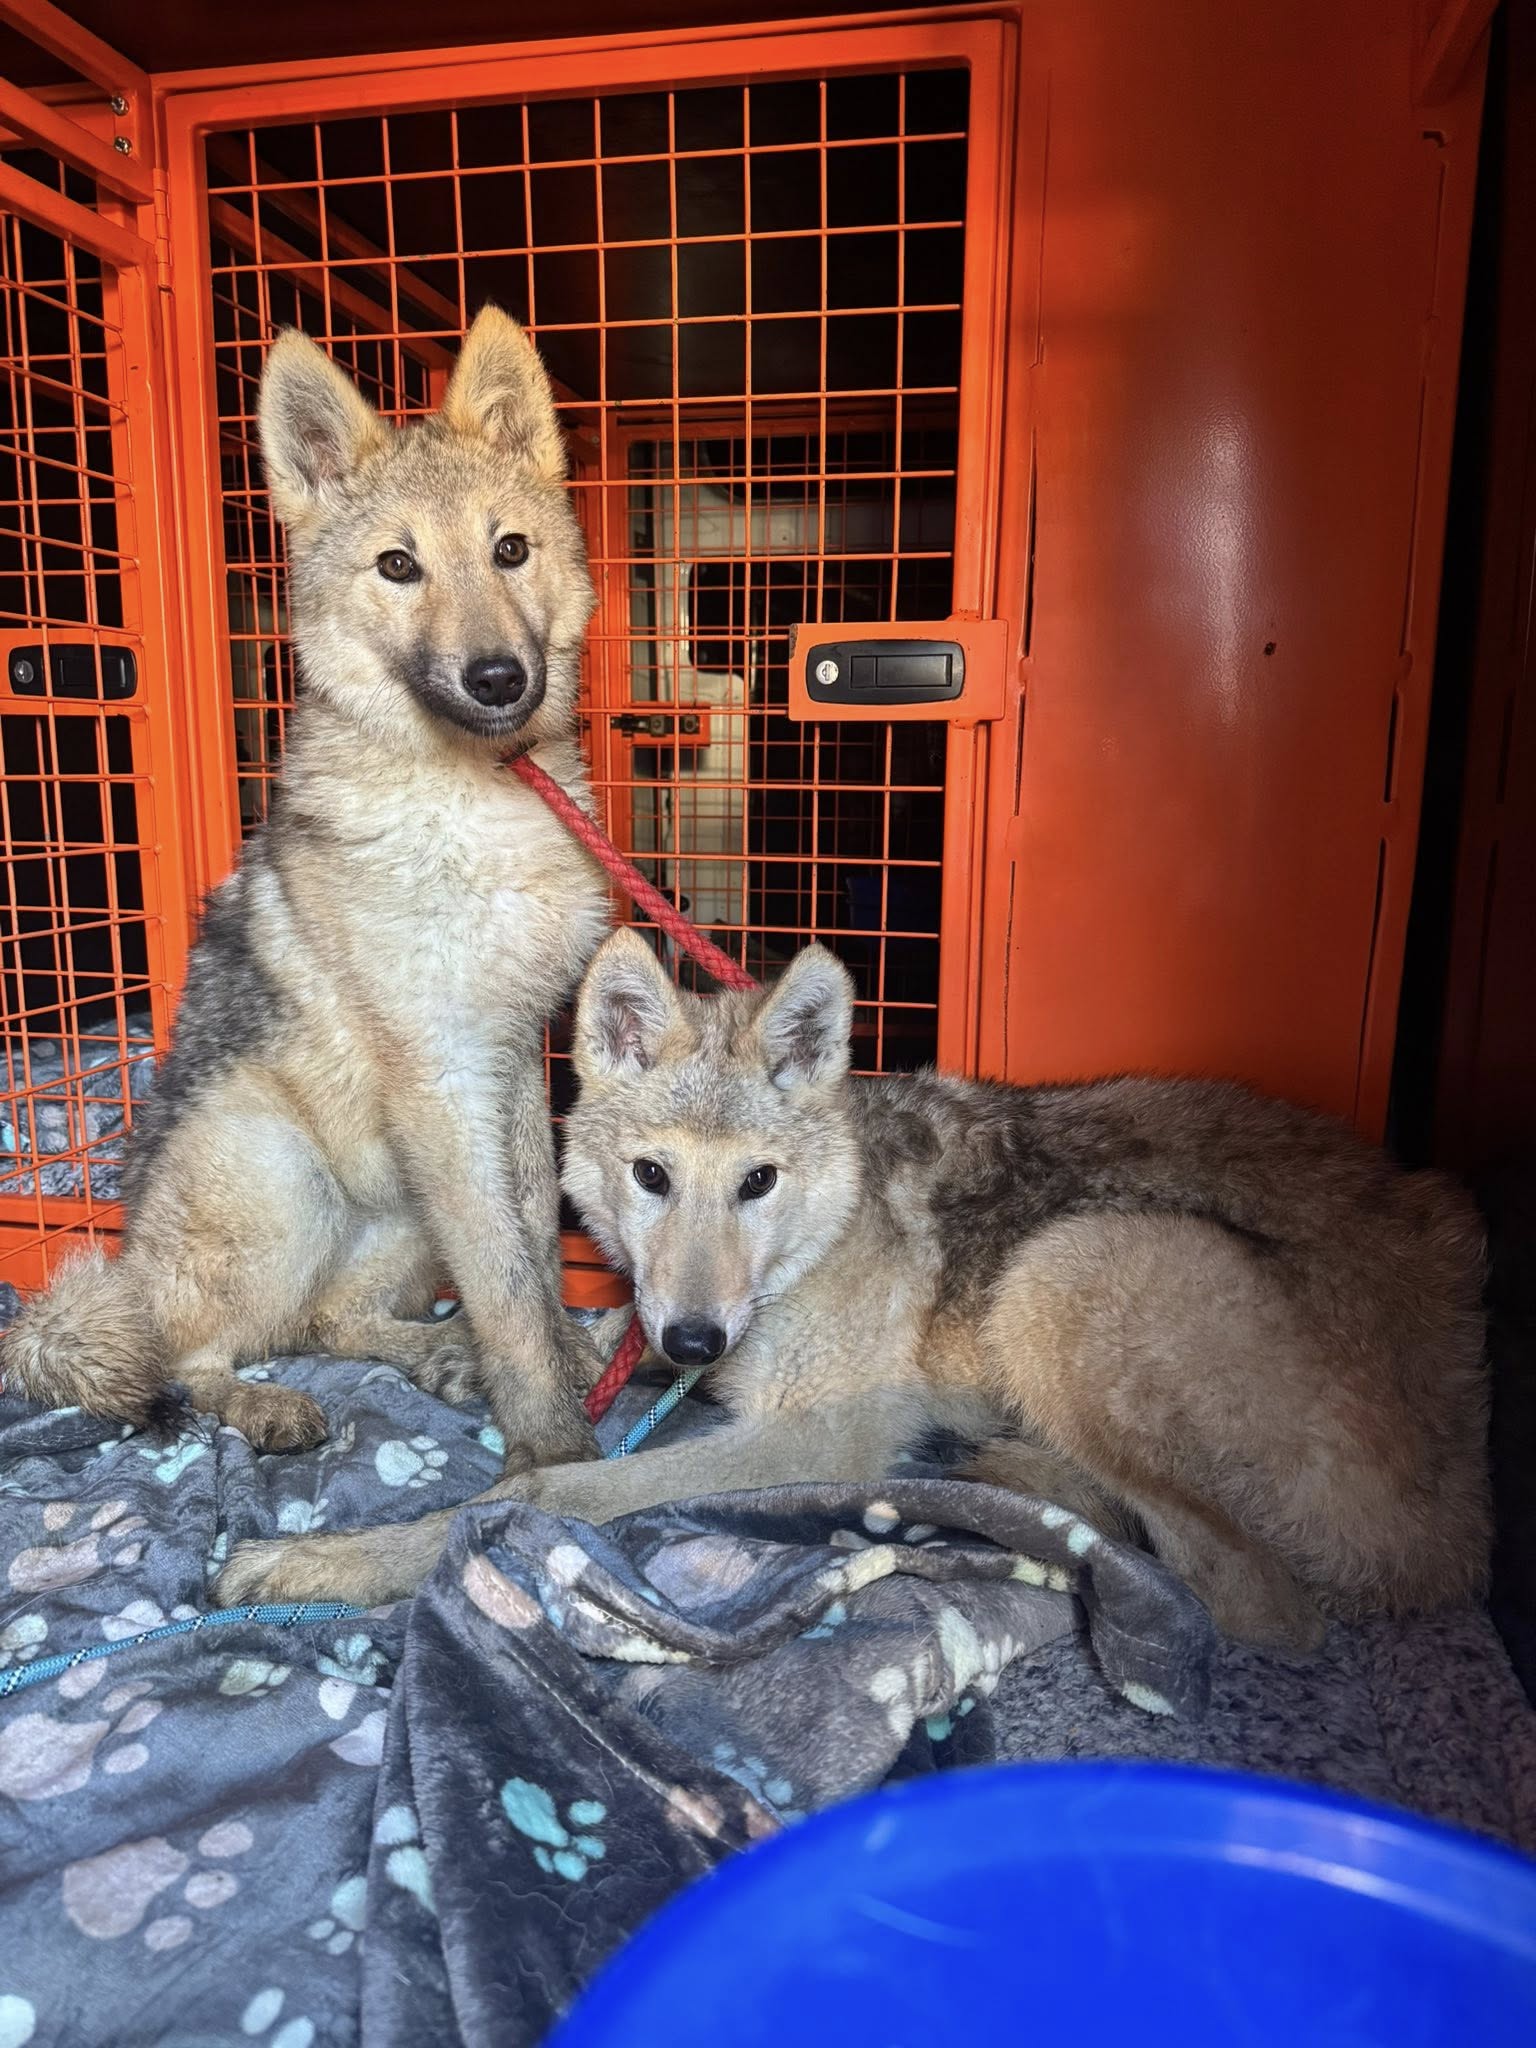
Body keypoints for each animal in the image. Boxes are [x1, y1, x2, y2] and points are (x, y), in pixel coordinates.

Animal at [5, 308, 610, 1468]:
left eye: (509, 548)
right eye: (397, 565)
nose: (500, 679)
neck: (468, 799)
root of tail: (123, 1263)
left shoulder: (509, 1068)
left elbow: (533, 1255)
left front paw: (558, 1365)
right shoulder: (441, 1079)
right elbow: (507, 1287)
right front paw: (551, 1446)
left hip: (398, 1211)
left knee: (327, 1320)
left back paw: (433, 1354)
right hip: (283, 1172)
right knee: (194, 1353)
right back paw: (264, 1406)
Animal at [215, 929, 1491, 1650]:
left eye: (758, 1181)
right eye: (652, 1174)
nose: (693, 1339)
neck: (811, 1248)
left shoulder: (804, 1431)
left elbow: (552, 1494)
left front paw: (331, 1561)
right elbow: (580, 1386)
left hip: (1066, 1265)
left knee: (1254, 1603)